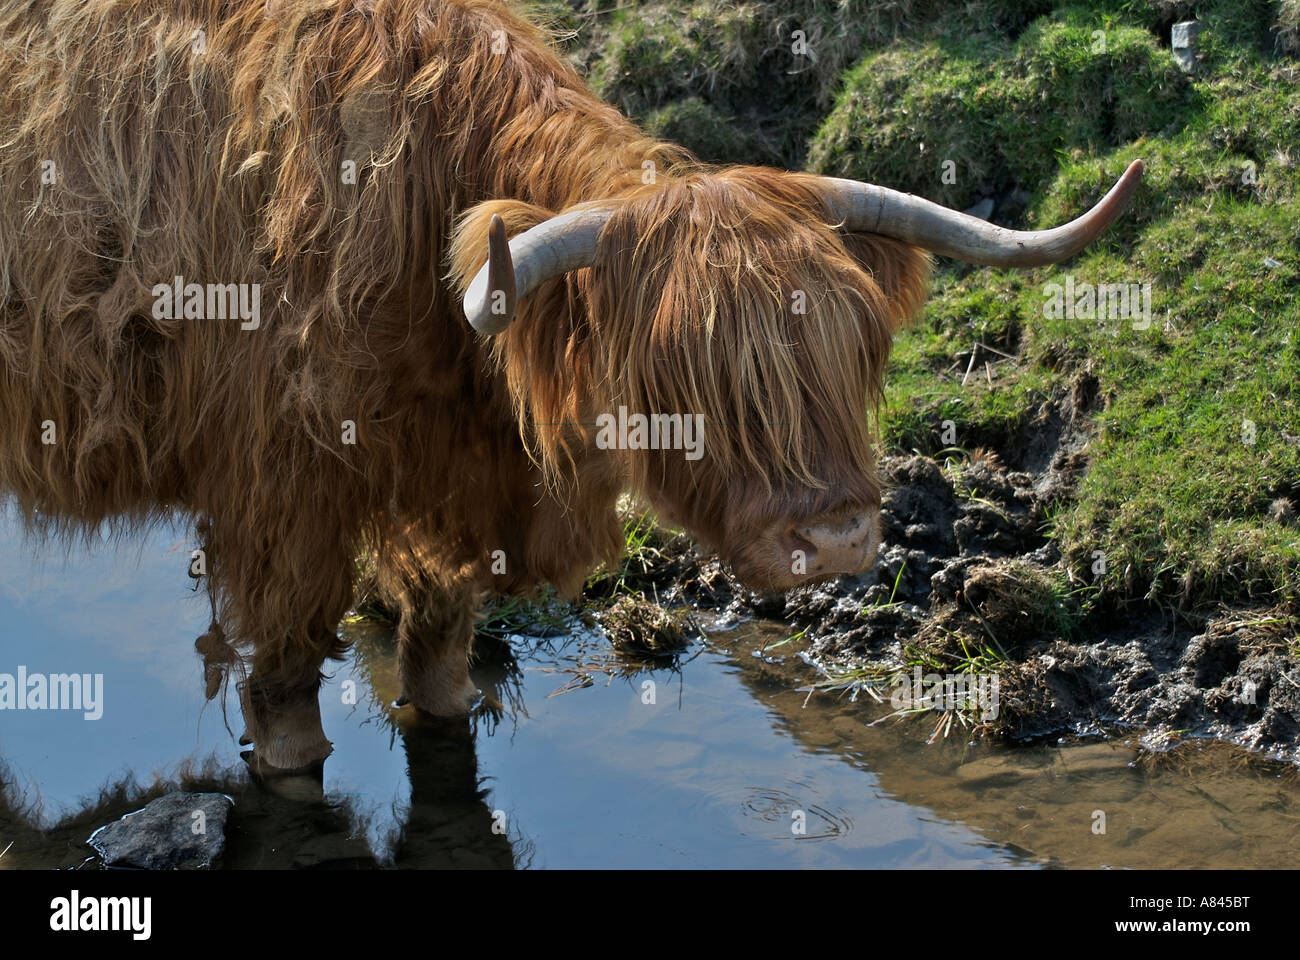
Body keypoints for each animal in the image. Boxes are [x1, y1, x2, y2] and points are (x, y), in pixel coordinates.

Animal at [0, 0, 1141, 770]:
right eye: (682, 372)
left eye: (853, 348)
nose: (838, 540)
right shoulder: (278, 491)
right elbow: (285, 703)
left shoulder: (454, 496)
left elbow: (440, 659)